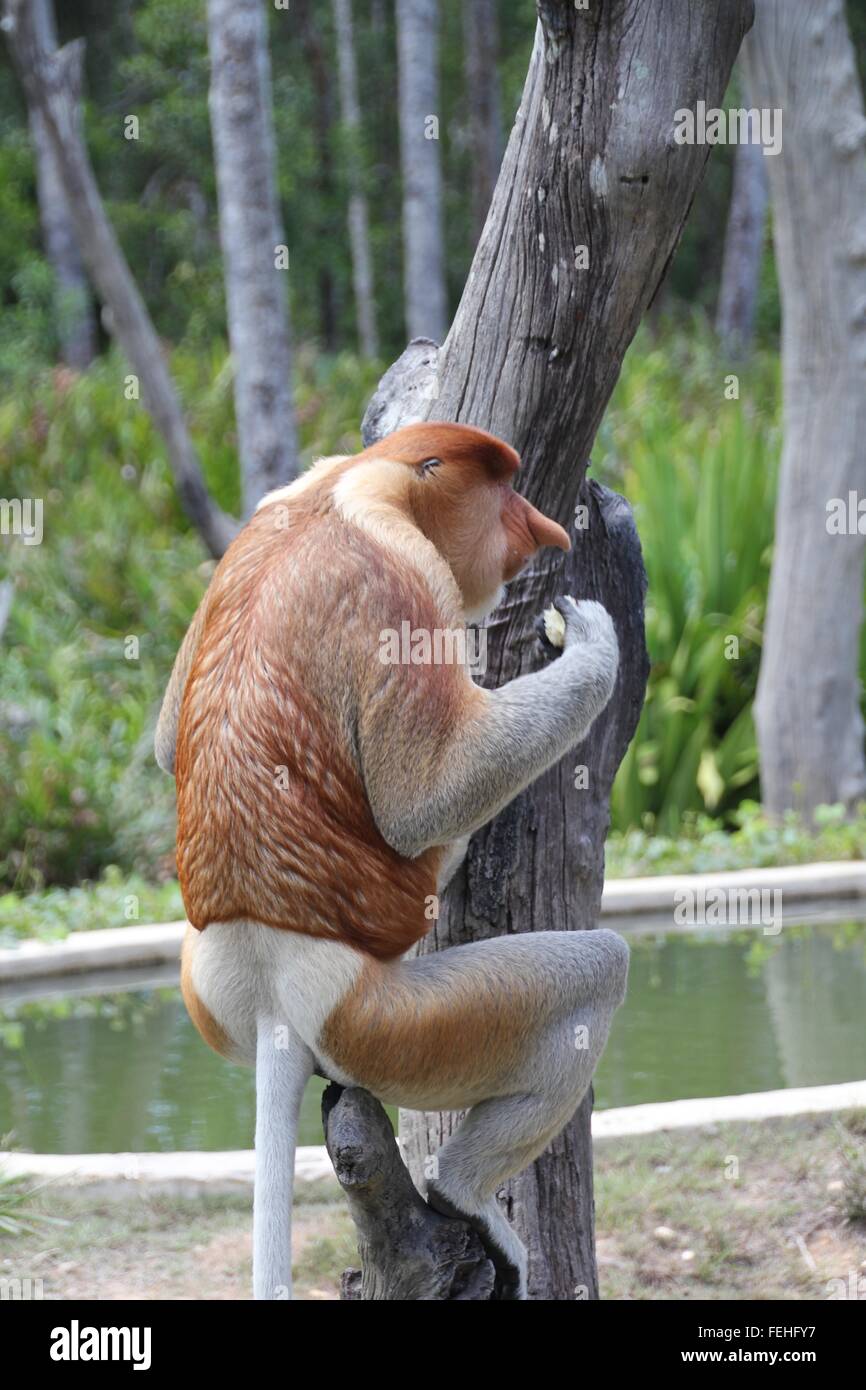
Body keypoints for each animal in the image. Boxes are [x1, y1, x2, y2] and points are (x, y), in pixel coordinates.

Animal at [155, 421, 628, 1300]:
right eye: (500, 492)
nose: (539, 530)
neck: (354, 484)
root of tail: (269, 994)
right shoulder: (409, 575)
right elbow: (423, 800)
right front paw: (589, 643)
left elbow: (168, 736)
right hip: (387, 1024)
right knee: (591, 977)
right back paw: (464, 1195)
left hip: (210, 994)